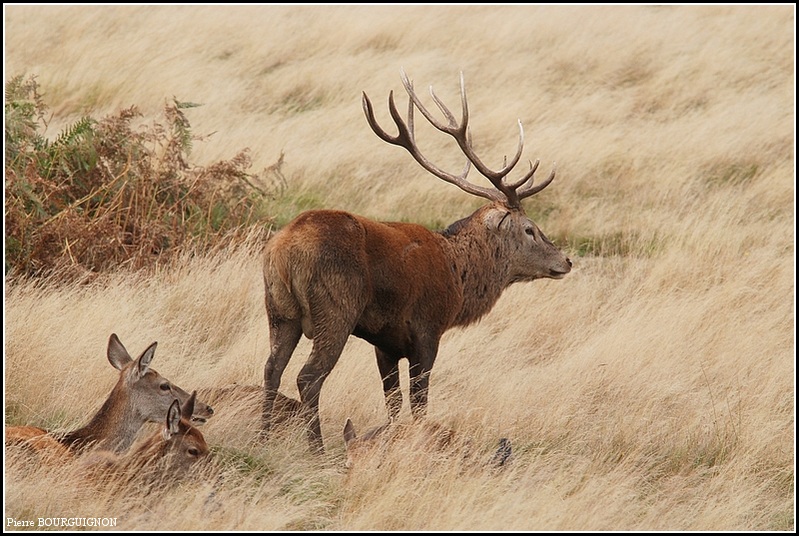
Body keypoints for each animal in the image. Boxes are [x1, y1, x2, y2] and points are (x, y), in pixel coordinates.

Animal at [262, 70, 572, 452]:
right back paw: (317, 450)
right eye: (530, 229)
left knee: (271, 369)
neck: (459, 274)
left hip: (278, 309)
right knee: (308, 376)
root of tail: (284, 250)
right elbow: (420, 403)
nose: (566, 260)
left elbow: (393, 403)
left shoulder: (385, 342)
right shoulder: (427, 329)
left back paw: (260, 437)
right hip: (336, 306)